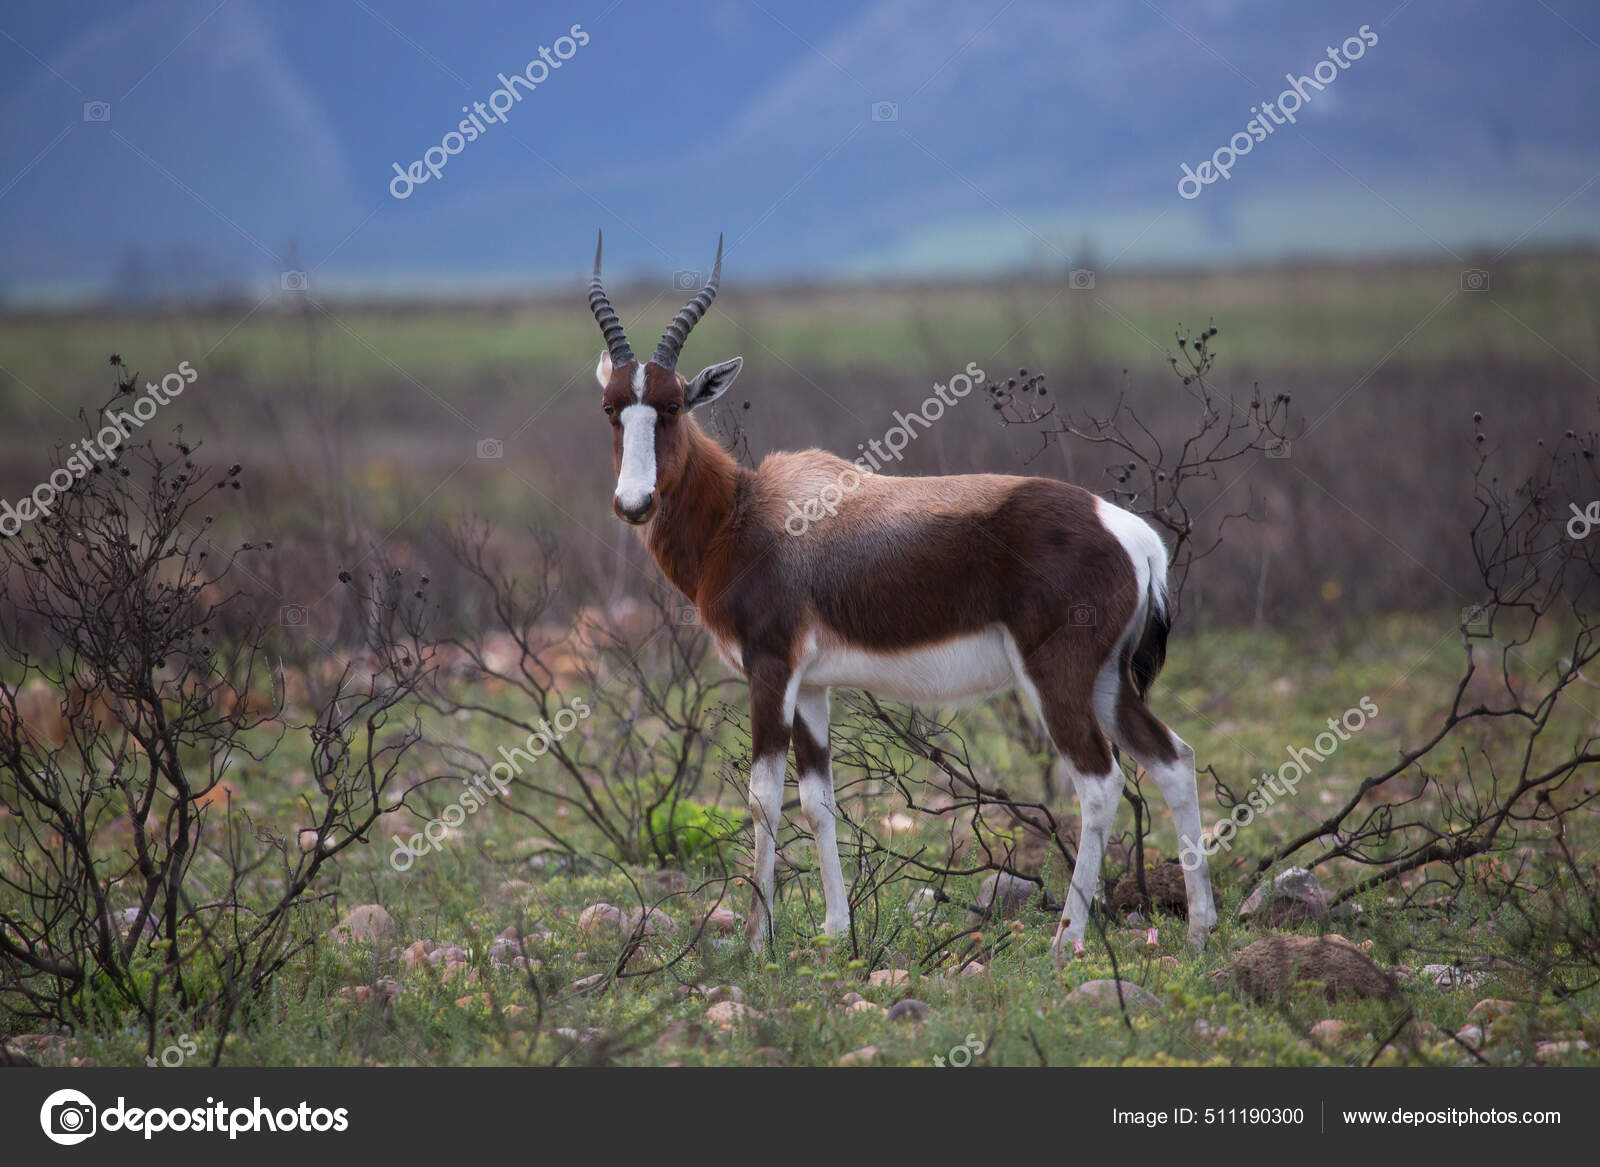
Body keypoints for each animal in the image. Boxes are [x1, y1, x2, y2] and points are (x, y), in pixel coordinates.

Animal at [587, 232, 1216, 965]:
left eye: (673, 405)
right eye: (612, 407)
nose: (634, 503)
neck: (747, 513)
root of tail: (1130, 533)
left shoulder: (769, 669)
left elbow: (762, 796)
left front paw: (755, 942)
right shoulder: (811, 684)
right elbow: (818, 799)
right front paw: (835, 930)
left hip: (1058, 677)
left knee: (1100, 780)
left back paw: (1068, 940)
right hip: (1110, 681)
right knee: (1173, 759)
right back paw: (1200, 928)